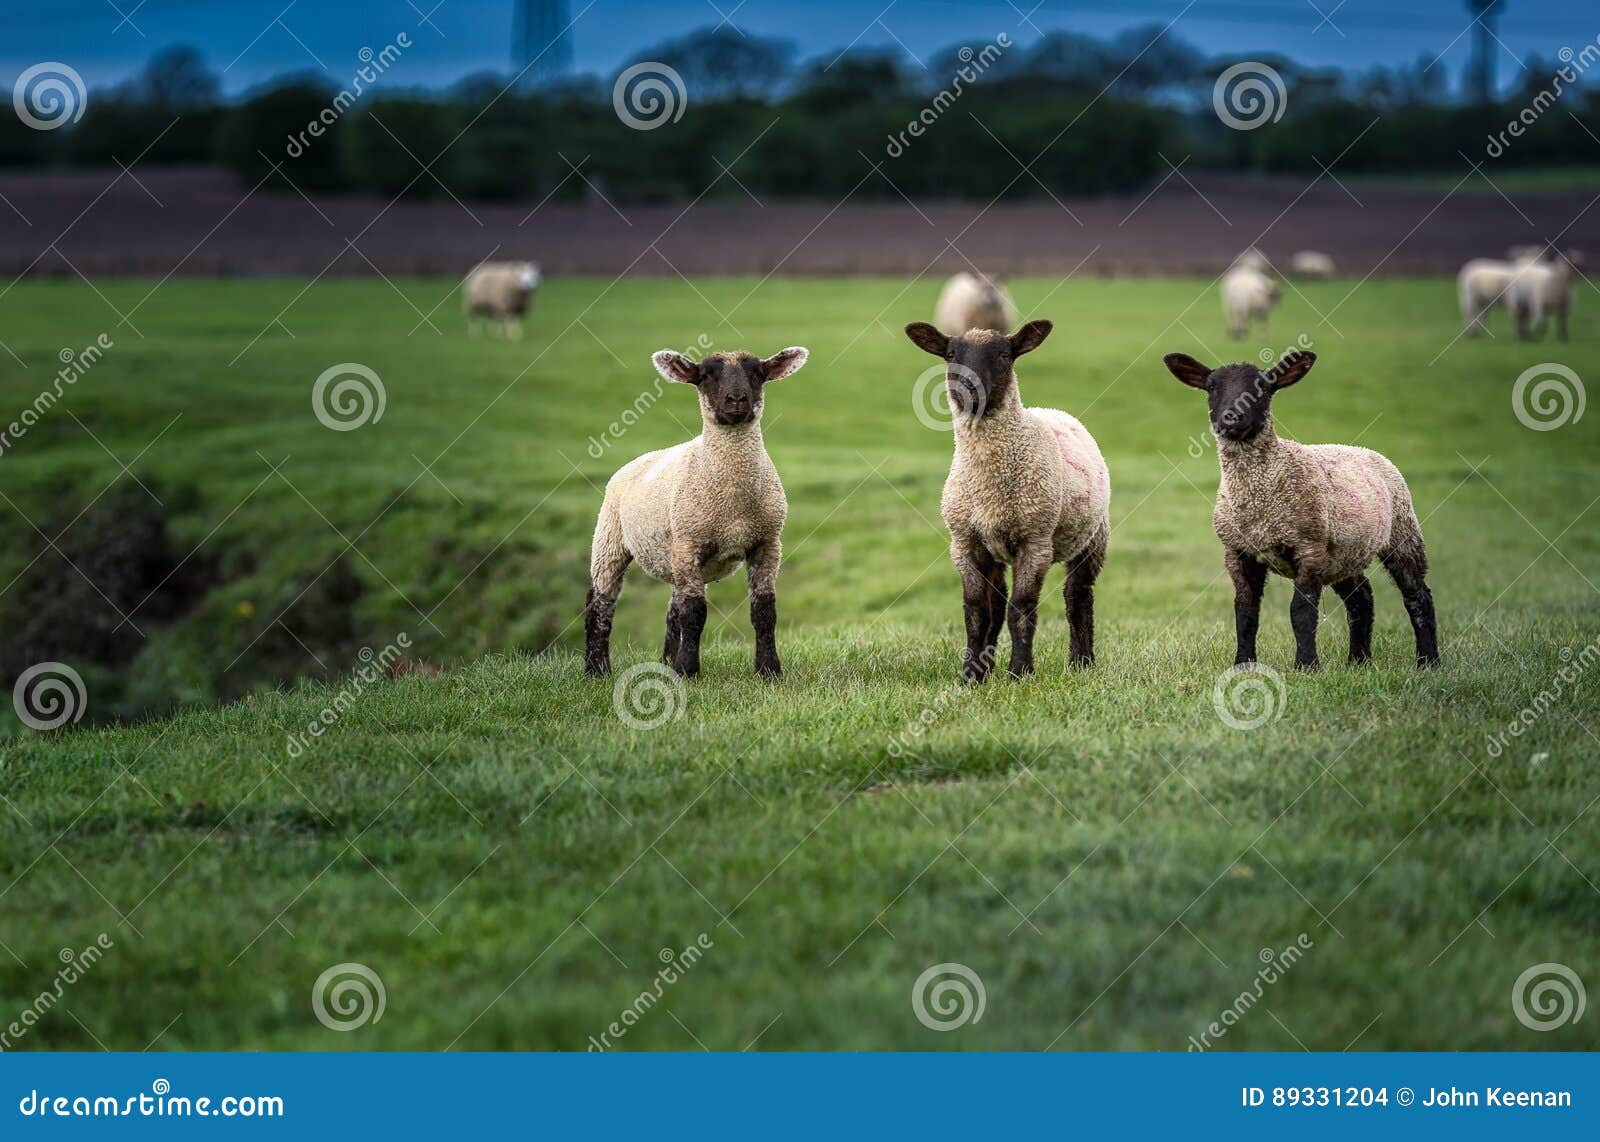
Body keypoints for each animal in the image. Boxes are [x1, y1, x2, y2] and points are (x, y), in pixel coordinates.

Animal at [584, 346, 809, 679]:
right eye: (705, 375)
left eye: (757, 372)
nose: (737, 399)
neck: (733, 506)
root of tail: (639, 459)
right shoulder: (690, 541)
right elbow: (695, 612)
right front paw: (687, 671)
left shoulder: (767, 542)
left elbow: (764, 609)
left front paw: (768, 670)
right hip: (610, 537)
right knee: (601, 602)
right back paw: (596, 669)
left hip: (672, 552)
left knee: (672, 609)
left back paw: (665, 662)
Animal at [904, 319, 1110, 681]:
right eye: (950, 354)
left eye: (1003, 354)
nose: (970, 390)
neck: (989, 485)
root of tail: (1052, 411)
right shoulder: (964, 543)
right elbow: (976, 611)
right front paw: (971, 676)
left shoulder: (1035, 541)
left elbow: (1022, 608)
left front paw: (1020, 672)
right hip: (994, 549)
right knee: (997, 604)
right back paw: (987, 667)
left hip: (1093, 537)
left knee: (1078, 596)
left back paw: (1081, 662)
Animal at [1162, 349, 1439, 671]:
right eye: (1211, 387)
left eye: (1263, 387)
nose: (1231, 416)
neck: (1259, 499)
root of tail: (1363, 449)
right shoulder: (1238, 551)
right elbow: (1245, 612)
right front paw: (1243, 664)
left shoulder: (1309, 547)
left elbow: (1301, 612)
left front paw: (1307, 665)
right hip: (1343, 553)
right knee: (1362, 597)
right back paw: (1358, 661)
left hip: (1402, 531)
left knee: (1417, 596)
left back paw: (1428, 661)